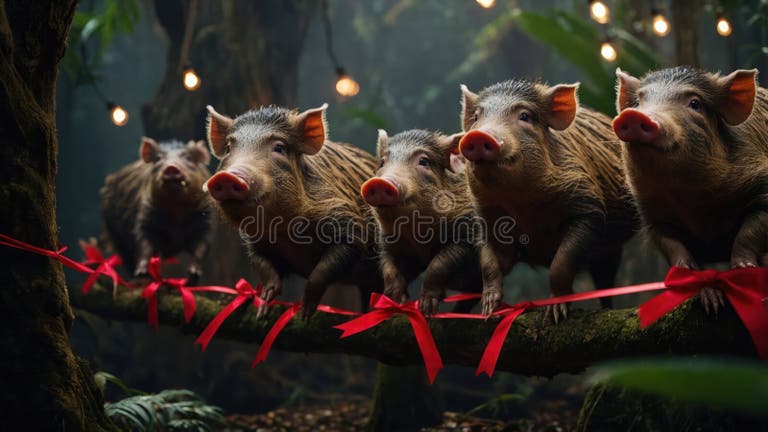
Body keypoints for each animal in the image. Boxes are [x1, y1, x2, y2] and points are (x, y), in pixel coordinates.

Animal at [101, 137, 212, 283]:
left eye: (188, 157)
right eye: (158, 158)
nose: (171, 167)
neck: (177, 209)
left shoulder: (204, 220)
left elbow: (201, 247)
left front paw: (194, 273)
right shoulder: (144, 216)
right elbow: (144, 245)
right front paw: (141, 273)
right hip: (114, 231)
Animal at [204, 104, 382, 320]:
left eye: (279, 147)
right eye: (229, 148)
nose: (228, 176)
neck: (284, 228)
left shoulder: (350, 225)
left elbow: (322, 270)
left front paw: (305, 314)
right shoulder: (255, 243)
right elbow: (264, 267)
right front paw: (262, 309)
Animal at [360, 129, 482, 315]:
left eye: (424, 161)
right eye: (382, 162)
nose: (380, 182)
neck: (417, 232)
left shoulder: (466, 234)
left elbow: (437, 264)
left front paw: (427, 309)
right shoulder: (387, 242)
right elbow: (388, 268)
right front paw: (396, 303)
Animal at [459, 80, 639, 321]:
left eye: (525, 116)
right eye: (477, 117)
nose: (478, 135)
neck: (522, 203)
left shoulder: (589, 208)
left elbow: (560, 263)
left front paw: (554, 315)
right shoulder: (484, 219)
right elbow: (489, 264)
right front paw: (490, 311)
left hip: (610, 248)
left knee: (605, 282)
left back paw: (606, 311)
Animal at [612, 66, 768, 313]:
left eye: (695, 103)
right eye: (638, 102)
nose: (634, 116)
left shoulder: (762, 190)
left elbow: (748, 234)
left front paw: (744, 271)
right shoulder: (654, 217)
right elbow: (675, 250)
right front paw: (710, 300)